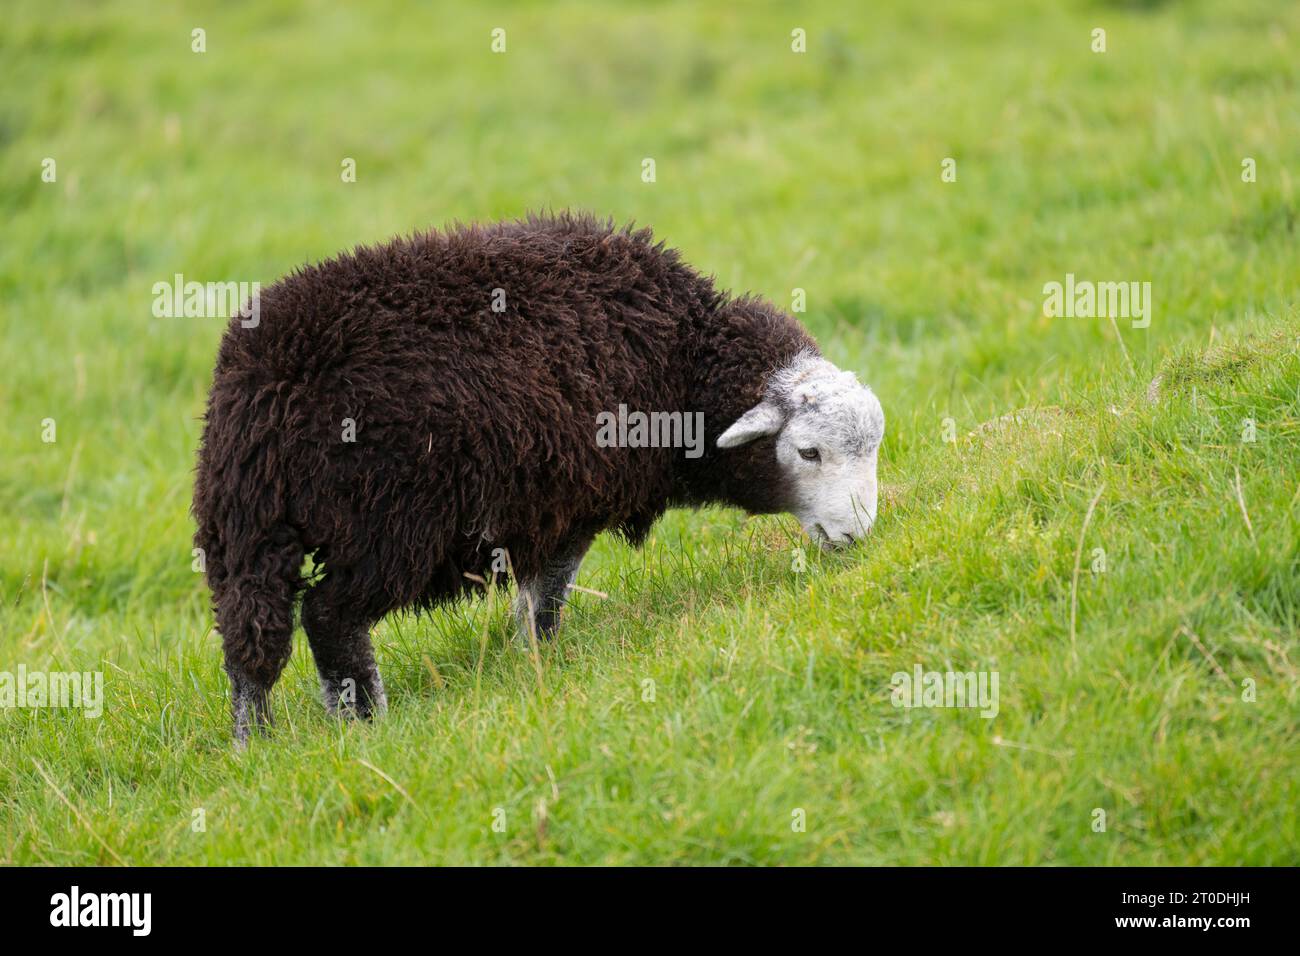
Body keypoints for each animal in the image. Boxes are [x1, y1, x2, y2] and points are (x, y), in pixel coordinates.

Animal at [192, 213, 885, 743]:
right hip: (386, 524)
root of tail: (261, 384)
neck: (680, 365)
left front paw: (531, 662)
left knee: (252, 641)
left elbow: (536, 598)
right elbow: (548, 592)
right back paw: (364, 722)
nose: (858, 538)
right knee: (330, 617)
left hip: (242, 528)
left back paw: (256, 744)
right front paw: (543, 658)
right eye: (809, 453)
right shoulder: (570, 501)